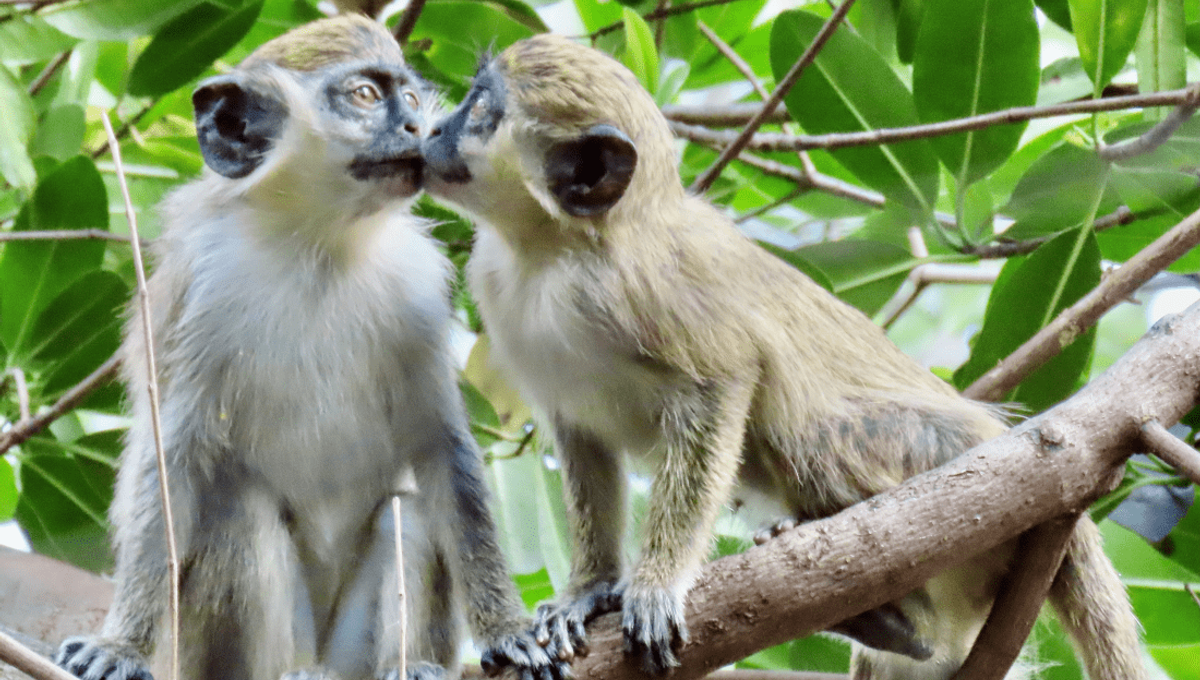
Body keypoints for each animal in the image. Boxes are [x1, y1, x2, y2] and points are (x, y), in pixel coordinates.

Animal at [54, 16, 562, 680]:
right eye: (366, 95)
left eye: (412, 97)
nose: (417, 128)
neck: (317, 243)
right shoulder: (202, 287)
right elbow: (174, 462)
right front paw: (118, 646)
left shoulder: (417, 288)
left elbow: (443, 452)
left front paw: (508, 630)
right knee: (237, 509)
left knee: (408, 514)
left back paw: (408, 666)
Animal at [418, 34, 1147, 680]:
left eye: (480, 107)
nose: (430, 131)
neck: (551, 252)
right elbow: (581, 436)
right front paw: (589, 590)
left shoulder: (637, 292)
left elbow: (725, 379)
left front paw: (656, 582)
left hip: (933, 457)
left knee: (806, 432)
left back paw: (899, 618)